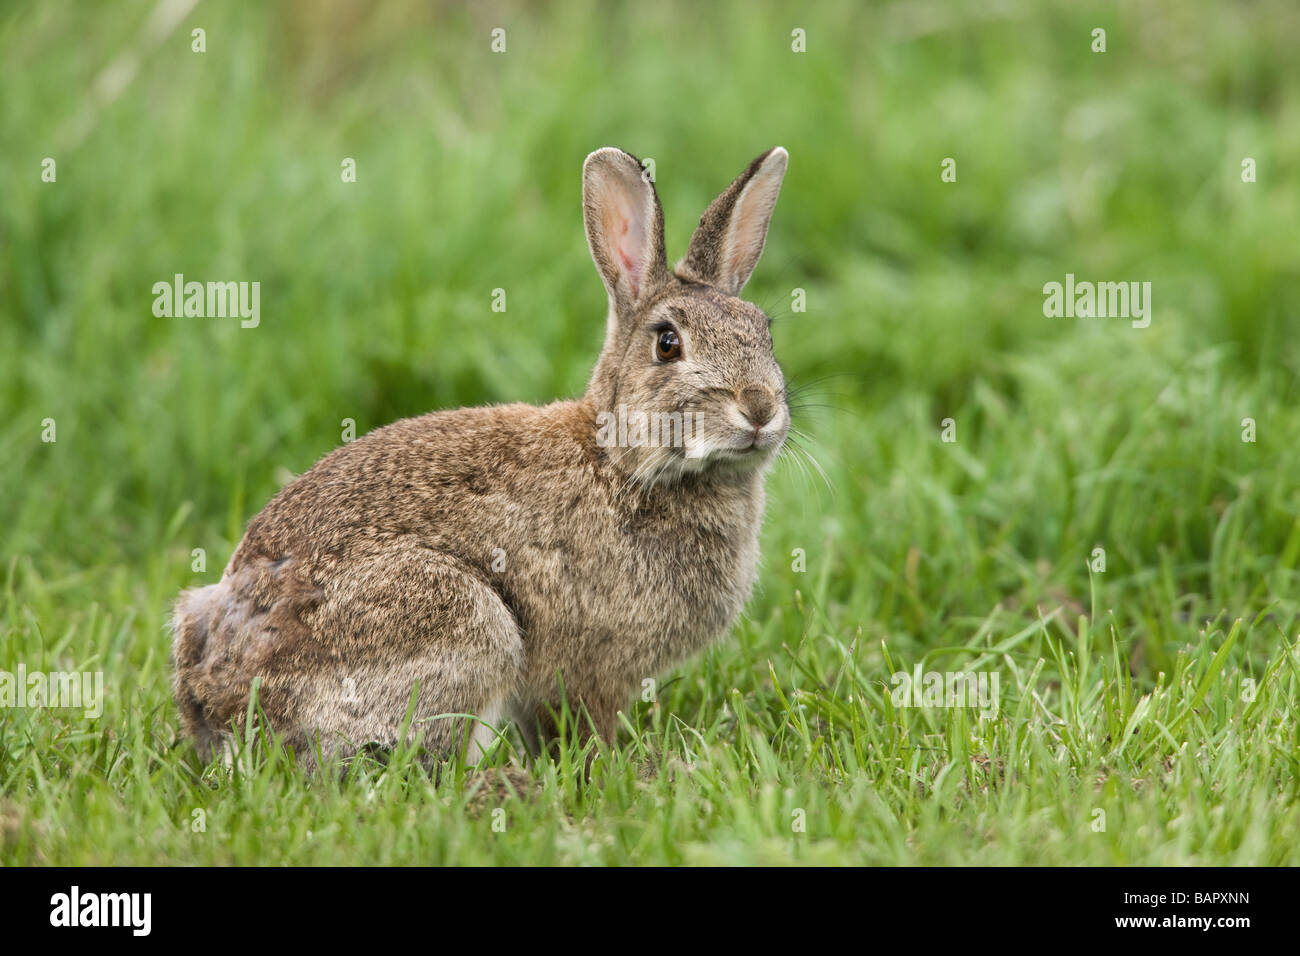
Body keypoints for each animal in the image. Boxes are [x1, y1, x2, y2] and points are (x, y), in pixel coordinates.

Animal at [171, 145, 791, 771]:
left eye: (765, 332)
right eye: (668, 343)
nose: (760, 409)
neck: (622, 462)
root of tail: (218, 702)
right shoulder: (593, 668)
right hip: (459, 616)